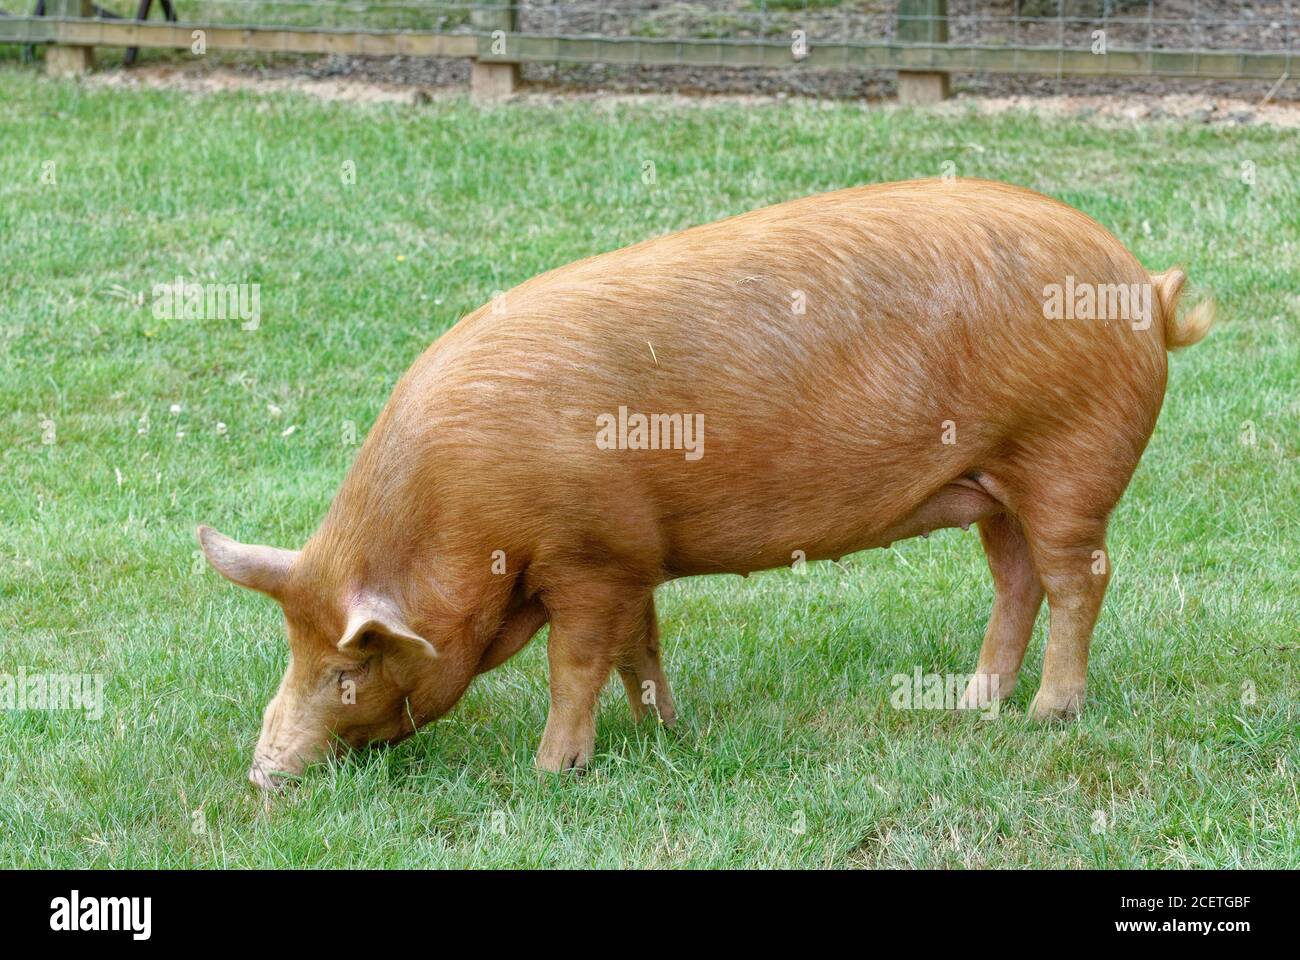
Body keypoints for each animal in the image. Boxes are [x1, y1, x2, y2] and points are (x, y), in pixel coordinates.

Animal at [198, 178, 1213, 788]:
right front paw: (666, 735)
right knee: (1017, 580)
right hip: (995, 483)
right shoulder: (631, 551)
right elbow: (639, 649)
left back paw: (1048, 716)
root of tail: (1143, 287)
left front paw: (552, 773)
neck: (461, 514)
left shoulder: (587, 557)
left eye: (347, 667)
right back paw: (972, 705)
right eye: (295, 648)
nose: (262, 774)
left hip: (1068, 459)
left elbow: (576, 665)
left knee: (1079, 578)